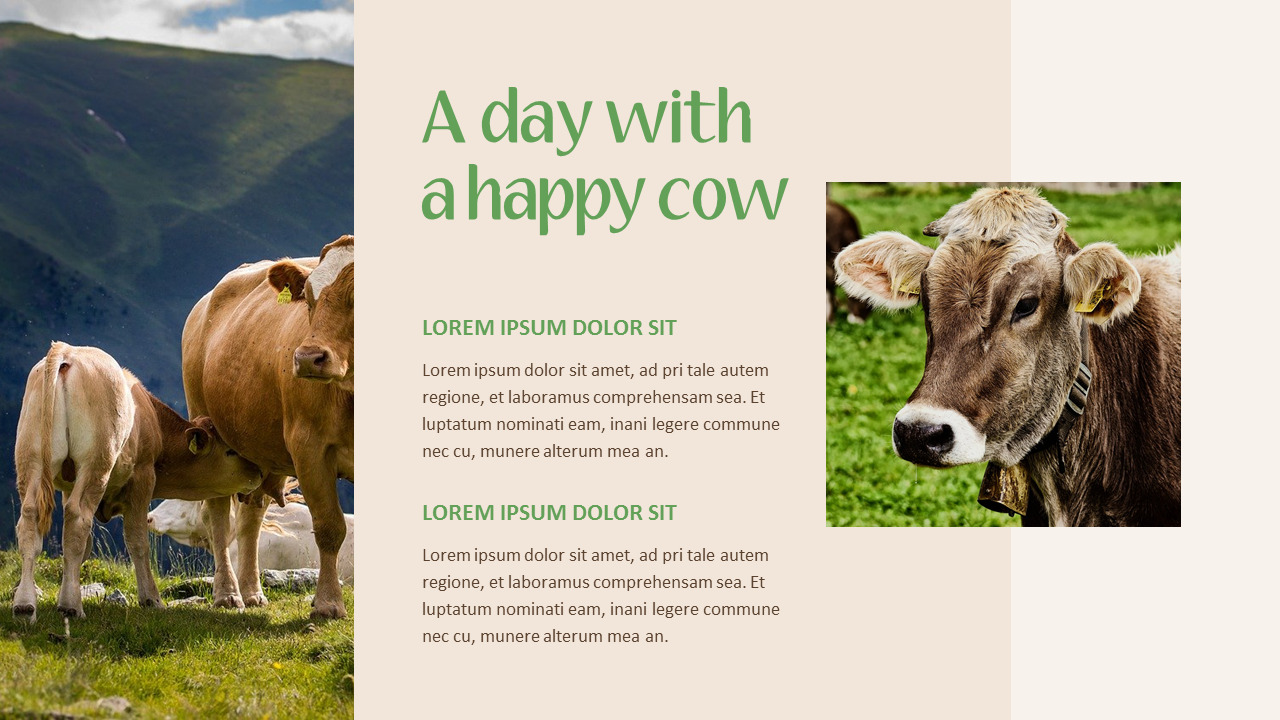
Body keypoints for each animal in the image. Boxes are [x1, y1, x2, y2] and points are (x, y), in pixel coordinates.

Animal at [11, 342, 262, 620]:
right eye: (230, 451)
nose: (259, 472)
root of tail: (67, 352)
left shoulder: (68, 485)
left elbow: (82, 546)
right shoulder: (143, 477)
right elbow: (137, 540)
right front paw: (151, 598)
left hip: (30, 458)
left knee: (30, 519)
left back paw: (25, 604)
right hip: (96, 462)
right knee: (77, 518)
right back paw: (71, 606)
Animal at [183, 234, 354, 618]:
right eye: (308, 297)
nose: (307, 358)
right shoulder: (309, 447)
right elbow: (329, 526)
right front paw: (328, 603)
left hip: (257, 450)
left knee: (252, 515)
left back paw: (251, 591)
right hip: (207, 429)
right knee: (219, 515)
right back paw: (228, 593)